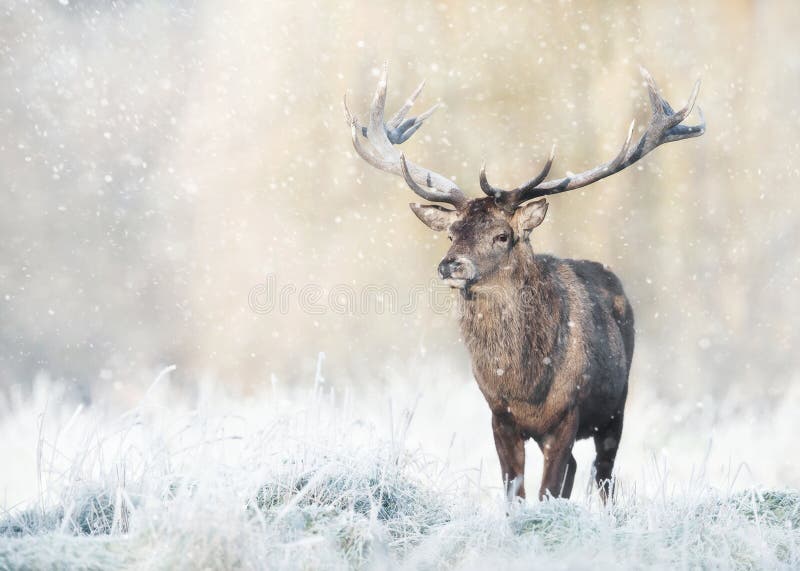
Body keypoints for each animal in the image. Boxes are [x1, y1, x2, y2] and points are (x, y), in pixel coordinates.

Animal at [344, 65, 704, 502]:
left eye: (502, 235)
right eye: (451, 234)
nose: (450, 265)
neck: (524, 383)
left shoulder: (567, 415)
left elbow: (548, 489)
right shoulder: (499, 416)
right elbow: (514, 494)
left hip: (616, 408)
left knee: (602, 477)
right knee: (576, 470)